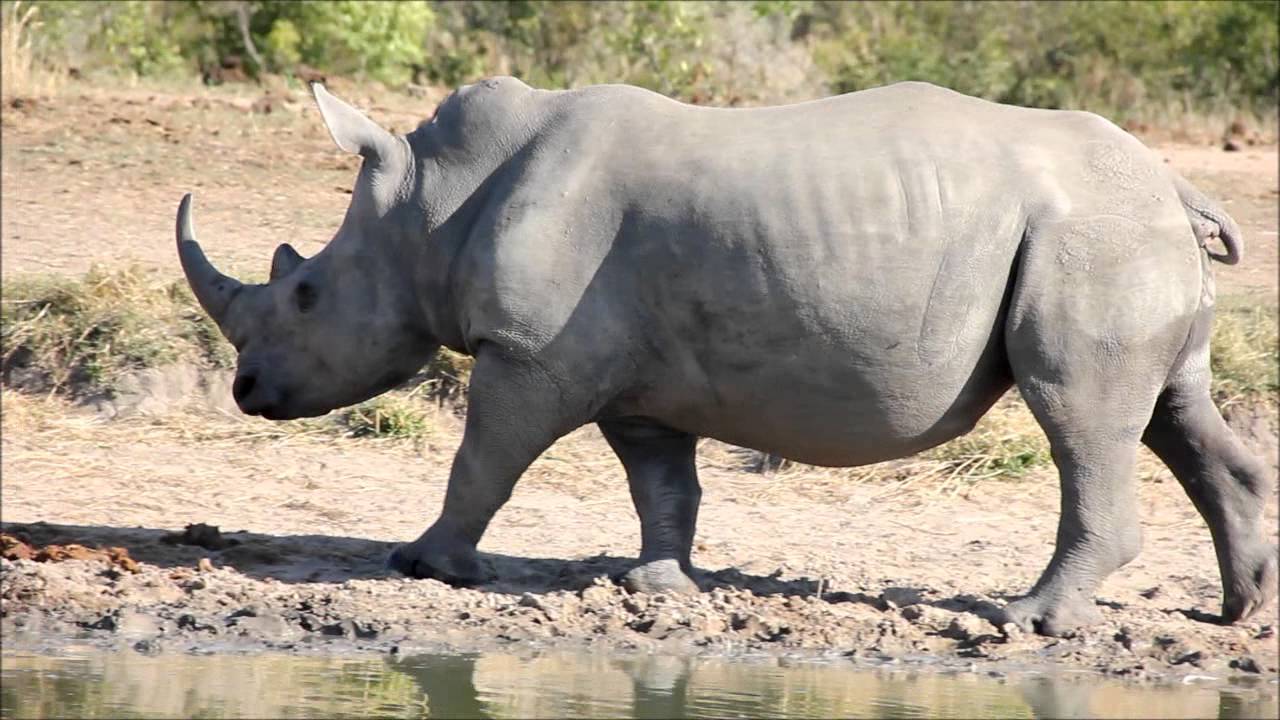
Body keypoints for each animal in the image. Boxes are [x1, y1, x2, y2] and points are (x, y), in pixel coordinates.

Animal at [176, 77, 1275, 636]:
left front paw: (426, 564)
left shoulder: (530, 353)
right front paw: (656, 589)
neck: (430, 207)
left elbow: (482, 458)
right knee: (1172, 413)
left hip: (1090, 236)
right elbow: (663, 484)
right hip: (1119, 234)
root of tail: (1172, 183)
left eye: (306, 295)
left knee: (1078, 417)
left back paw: (1030, 621)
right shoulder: (632, 379)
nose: (246, 390)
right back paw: (1236, 611)